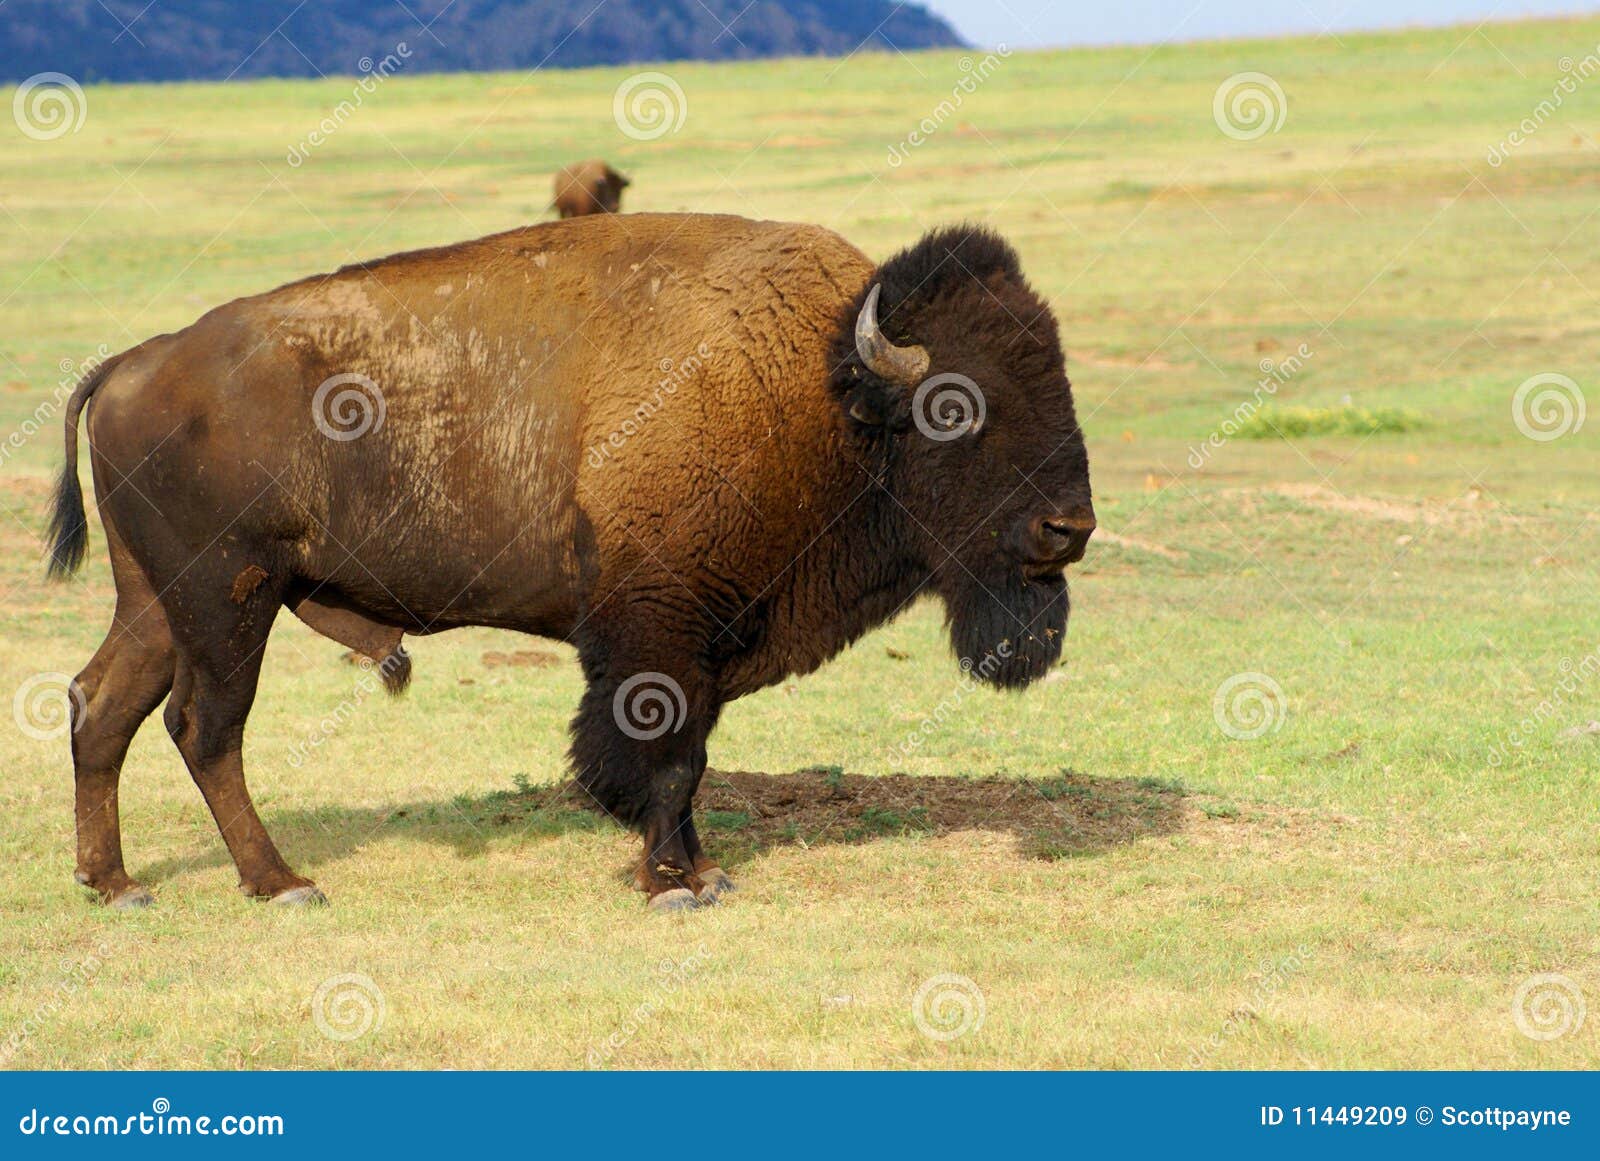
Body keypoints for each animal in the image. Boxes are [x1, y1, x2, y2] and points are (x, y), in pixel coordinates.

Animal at [47, 212, 1095, 913]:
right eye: (958, 405)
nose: (1069, 527)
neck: (824, 388)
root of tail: (132, 364)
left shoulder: (704, 638)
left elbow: (691, 759)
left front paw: (702, 870)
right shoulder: (656, 634)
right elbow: (665, 757)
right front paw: (671, 884)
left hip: (158, 602)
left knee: (102, 706)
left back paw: (115, 883)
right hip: (230, 599)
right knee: (205, 727)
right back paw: (281, 882)